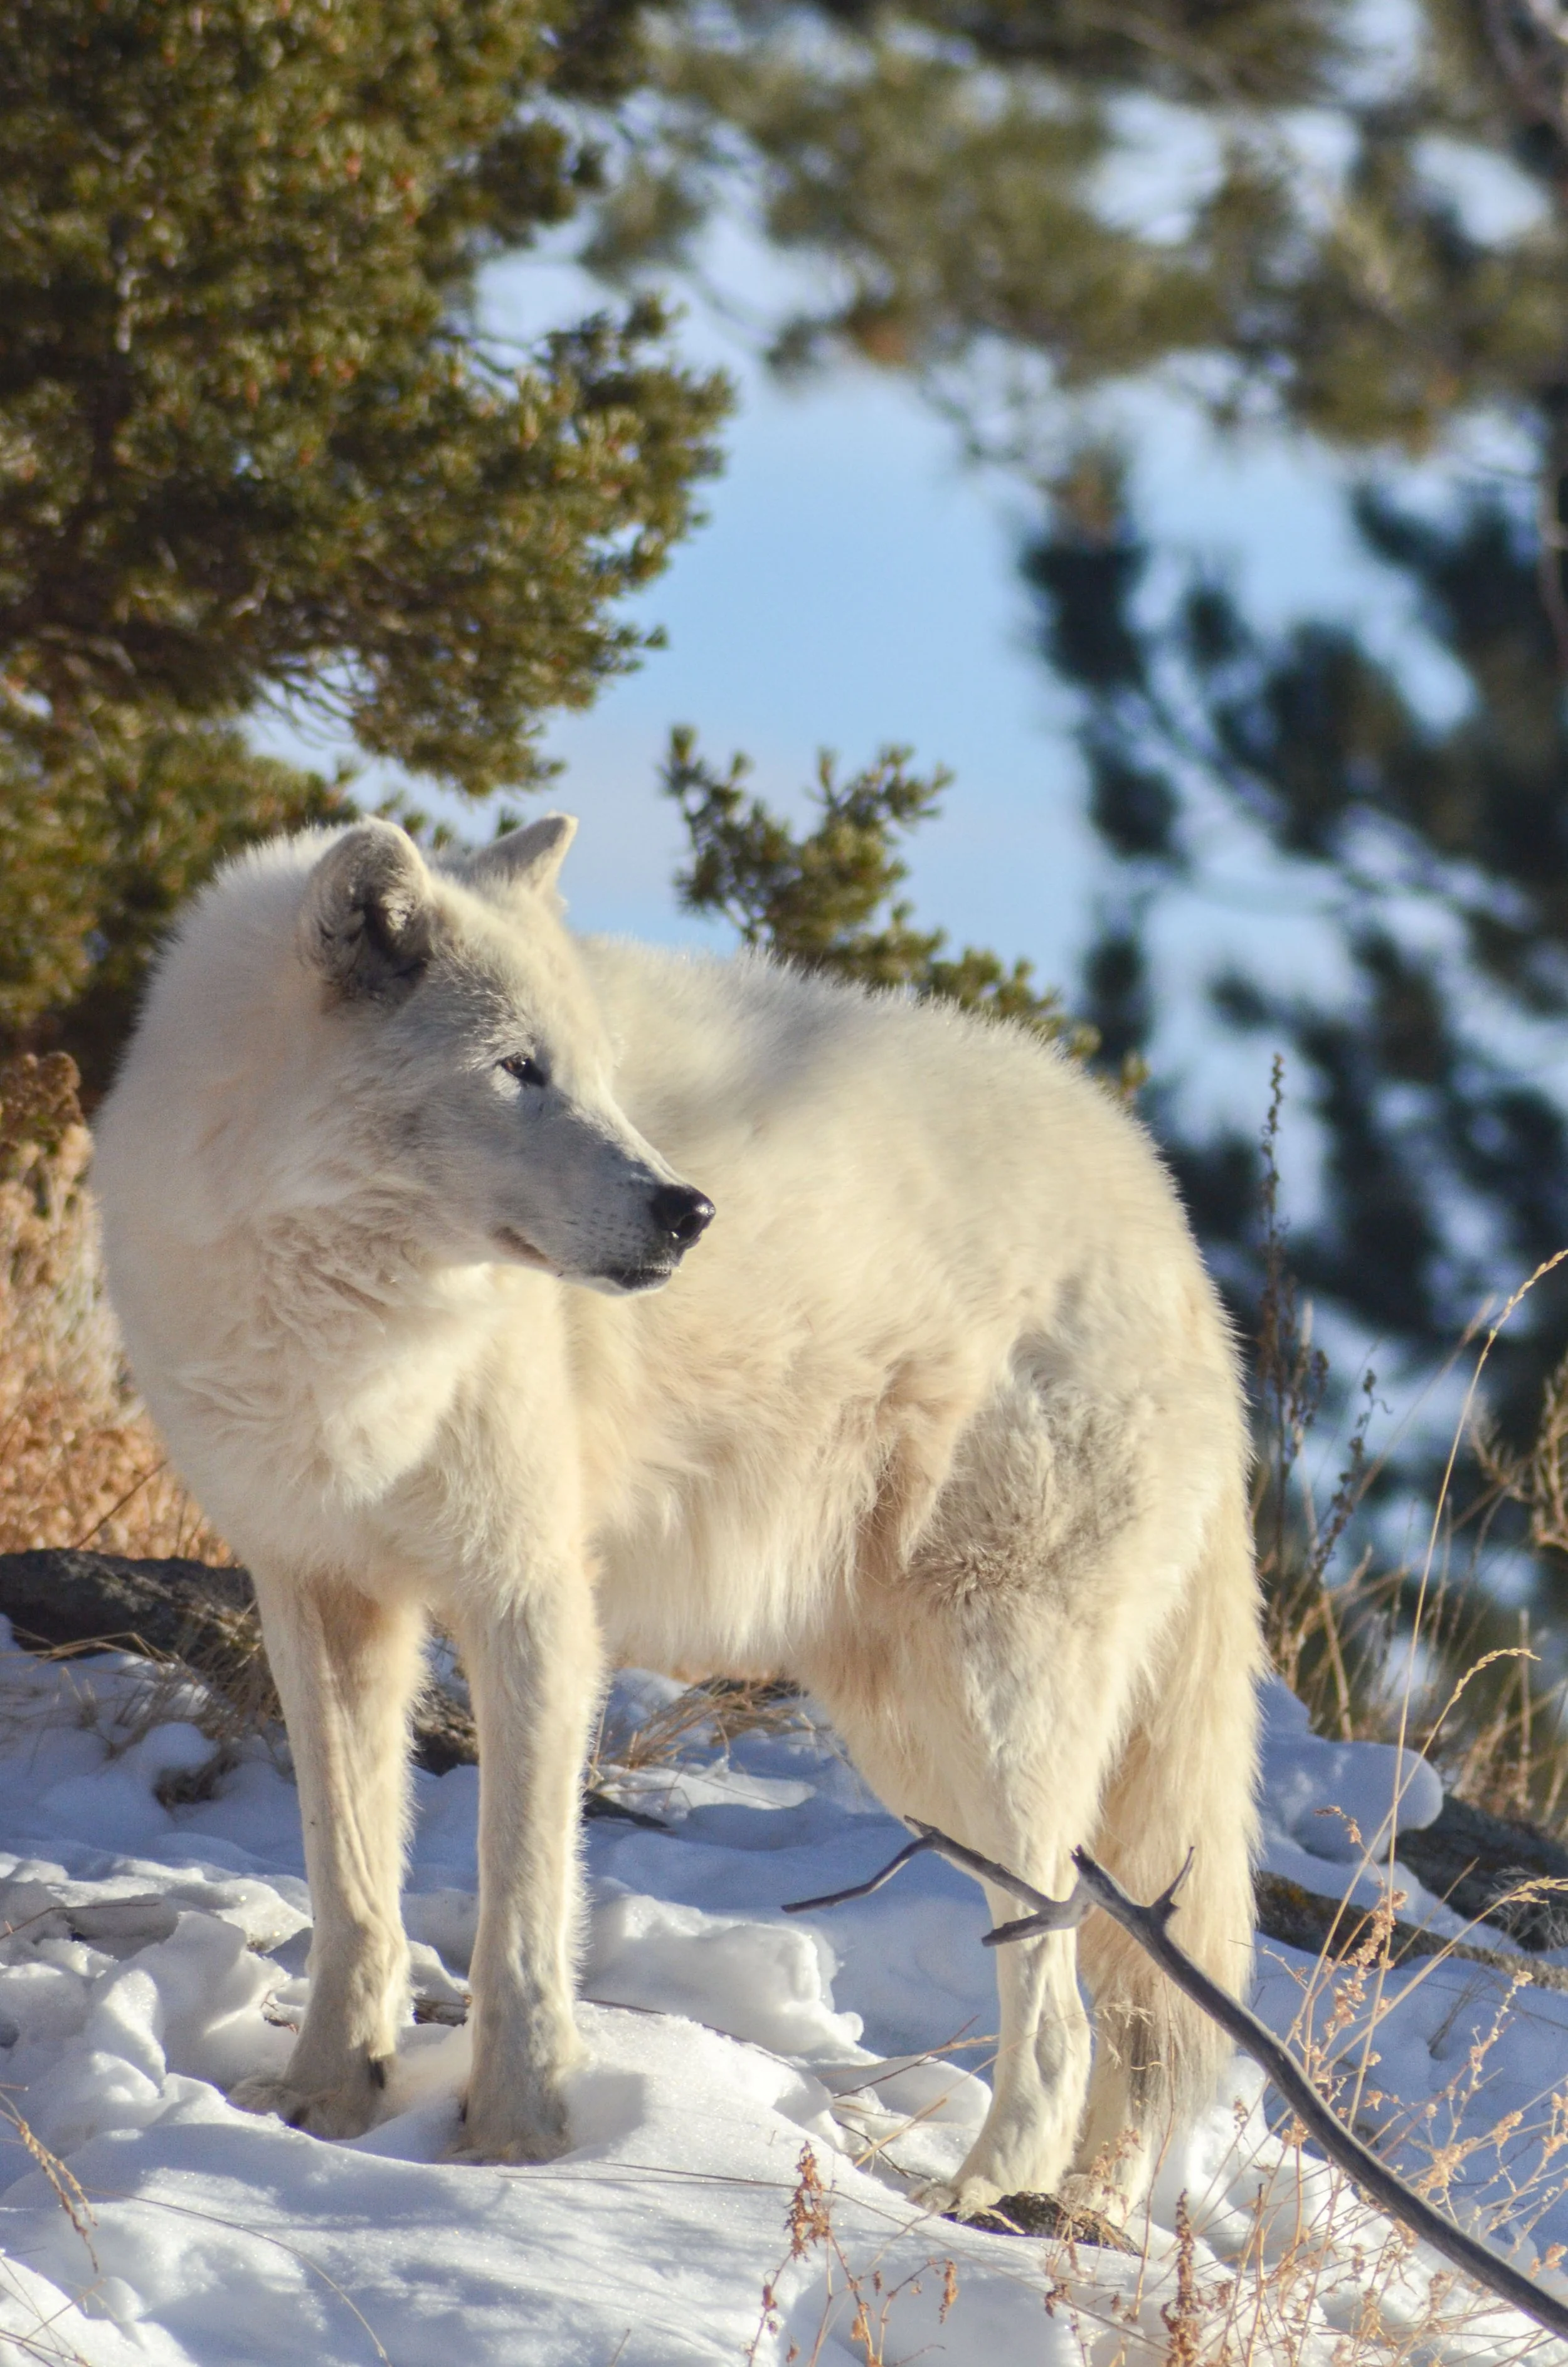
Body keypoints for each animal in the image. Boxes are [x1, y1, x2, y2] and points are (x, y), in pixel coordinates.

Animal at [92, 813, 1261, 2221]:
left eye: (596, 1076)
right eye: (519, 1069)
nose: (689, 1210)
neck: (352, 1326)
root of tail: (1177, 1235)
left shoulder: (533, 1599)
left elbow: (522, 1894)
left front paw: (517, 2132)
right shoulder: (319, 1592)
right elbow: (352, 1879)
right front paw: (326, 2098)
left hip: (984, 1713)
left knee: (1065, 2005)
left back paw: (976, 2198)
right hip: (907, 1731)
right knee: (1117, 2008)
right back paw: (1077, 2211)